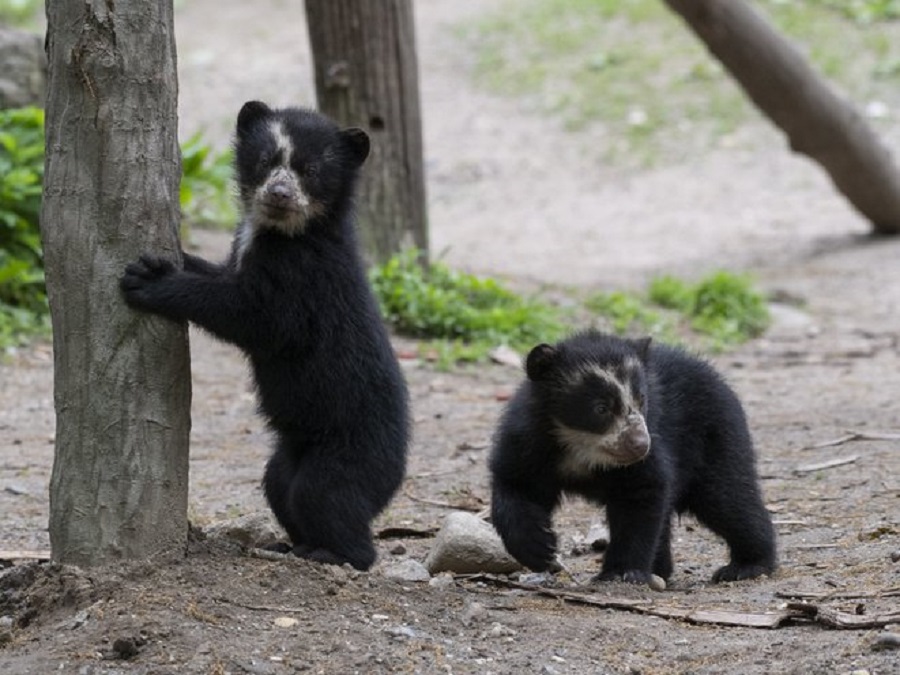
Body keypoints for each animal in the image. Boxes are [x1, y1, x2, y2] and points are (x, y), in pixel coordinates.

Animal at [120, 101, 409, 571]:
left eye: (310, 169)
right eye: (266, 160)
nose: (279, 193)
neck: (281, 231)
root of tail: (397, 468)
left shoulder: (303, 278)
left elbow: (254, 315)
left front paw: (150, 280)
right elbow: (221, 274)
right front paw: (173, 257)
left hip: (351, 453)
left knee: (326, 495)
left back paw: (332, 553)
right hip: (289, 456)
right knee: (280, 486)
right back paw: (289, 544)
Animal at [489, 329, 776, 584]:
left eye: (642, 400)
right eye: (601, 408)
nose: (640, 445)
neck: (580, 448)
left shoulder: (649, 454)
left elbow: (642, 496)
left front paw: (621, 572)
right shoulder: (528, 441)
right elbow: (516, 486)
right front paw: (539, 548)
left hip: (713, 436)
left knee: (727, 499)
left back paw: (746, 566)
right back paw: (661, 570)